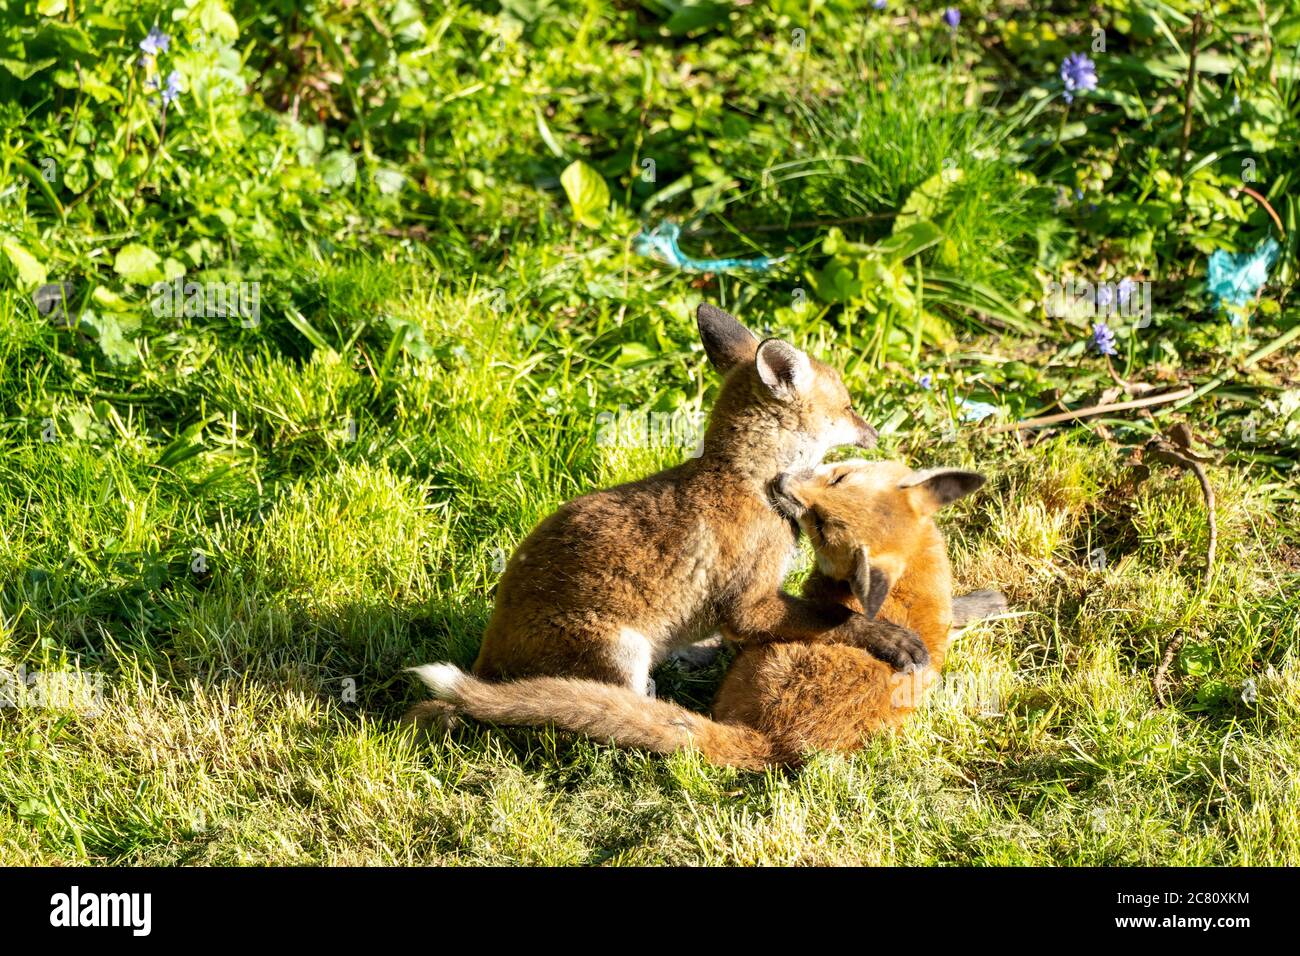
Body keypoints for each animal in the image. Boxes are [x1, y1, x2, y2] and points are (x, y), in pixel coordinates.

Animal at [405, 304, 930, 729]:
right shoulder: (750, 604)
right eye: (848, 406)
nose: (875, 433)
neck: (750, 481)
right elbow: (834, 617)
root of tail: (486, 662)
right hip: (619, 651)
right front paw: (886, 637)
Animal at [409, 459, 995, 769]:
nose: (780, 482)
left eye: (822, 525)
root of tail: (772, 744)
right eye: (839, 478)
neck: (917, 568)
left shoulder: (757, 620)